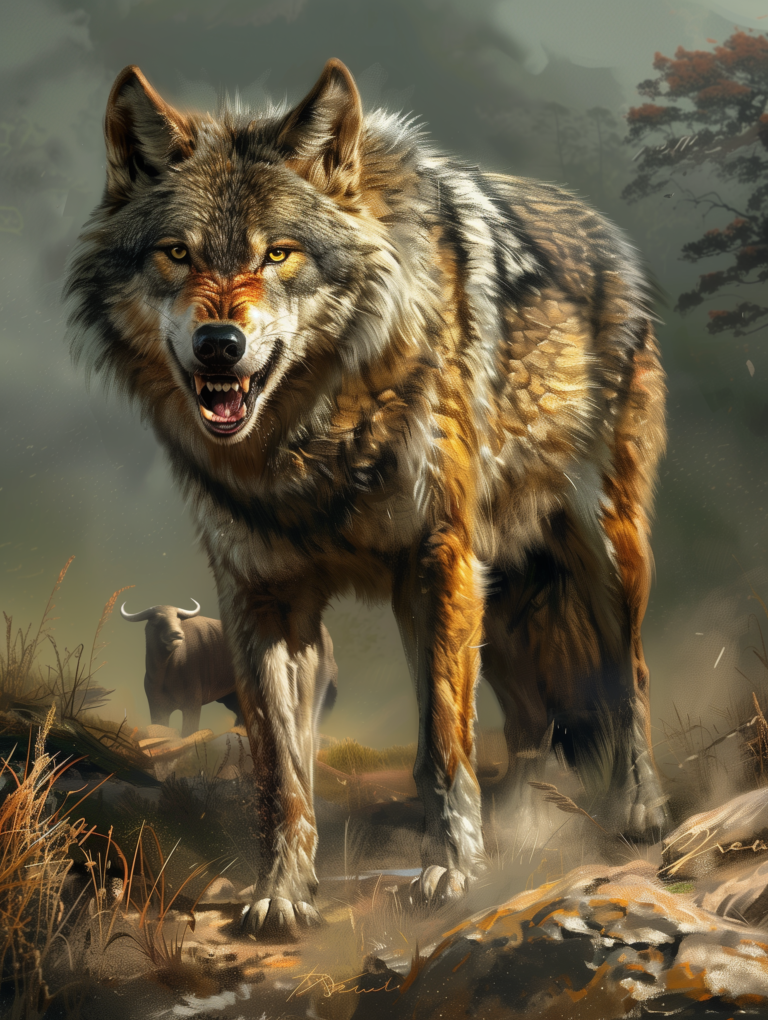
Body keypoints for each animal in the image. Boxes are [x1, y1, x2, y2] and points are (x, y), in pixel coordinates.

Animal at [65, 58, 668, 937]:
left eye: (278, 254)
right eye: (176, 252)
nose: (220, 345)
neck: (307, 444)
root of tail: (608, 233)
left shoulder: (437, 563)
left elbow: (441, 745)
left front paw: (449, 873)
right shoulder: (262, 597)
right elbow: (280, 768)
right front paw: (281, 891)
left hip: (604, 554)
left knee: (630, 678)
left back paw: (639, 809)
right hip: (507, 593)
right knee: (528, 722)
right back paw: (516, 823)